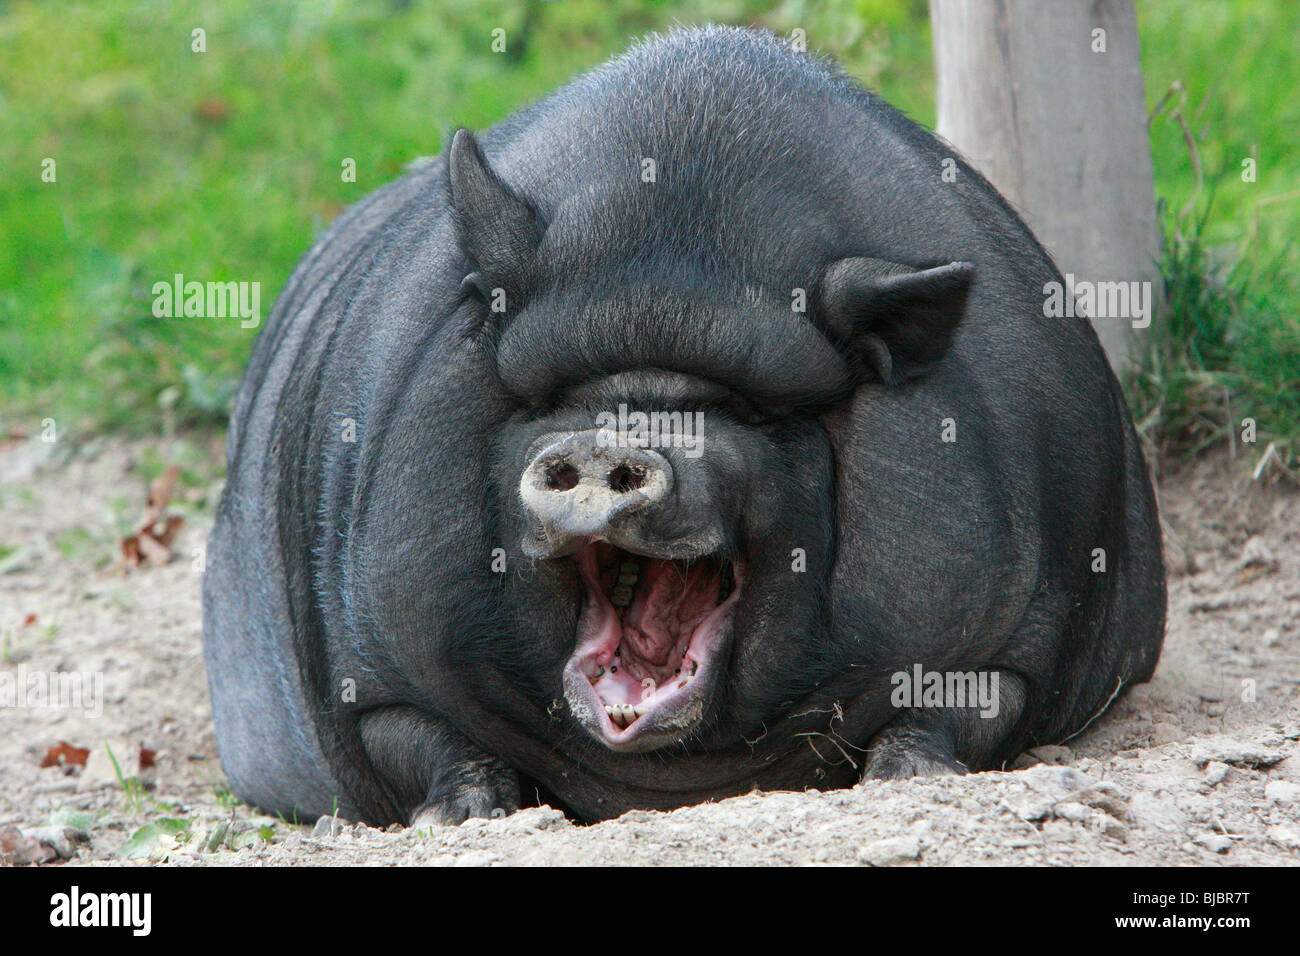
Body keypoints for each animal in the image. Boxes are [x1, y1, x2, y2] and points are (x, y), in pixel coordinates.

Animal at [202, 25, 1165, 826]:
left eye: (752, 413)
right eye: (554, 399)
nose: (605, 445)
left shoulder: (1018, 631)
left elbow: (963, 706)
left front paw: (907, 779)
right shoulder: (367, 662)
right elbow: (416, 734)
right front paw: (460, 818)